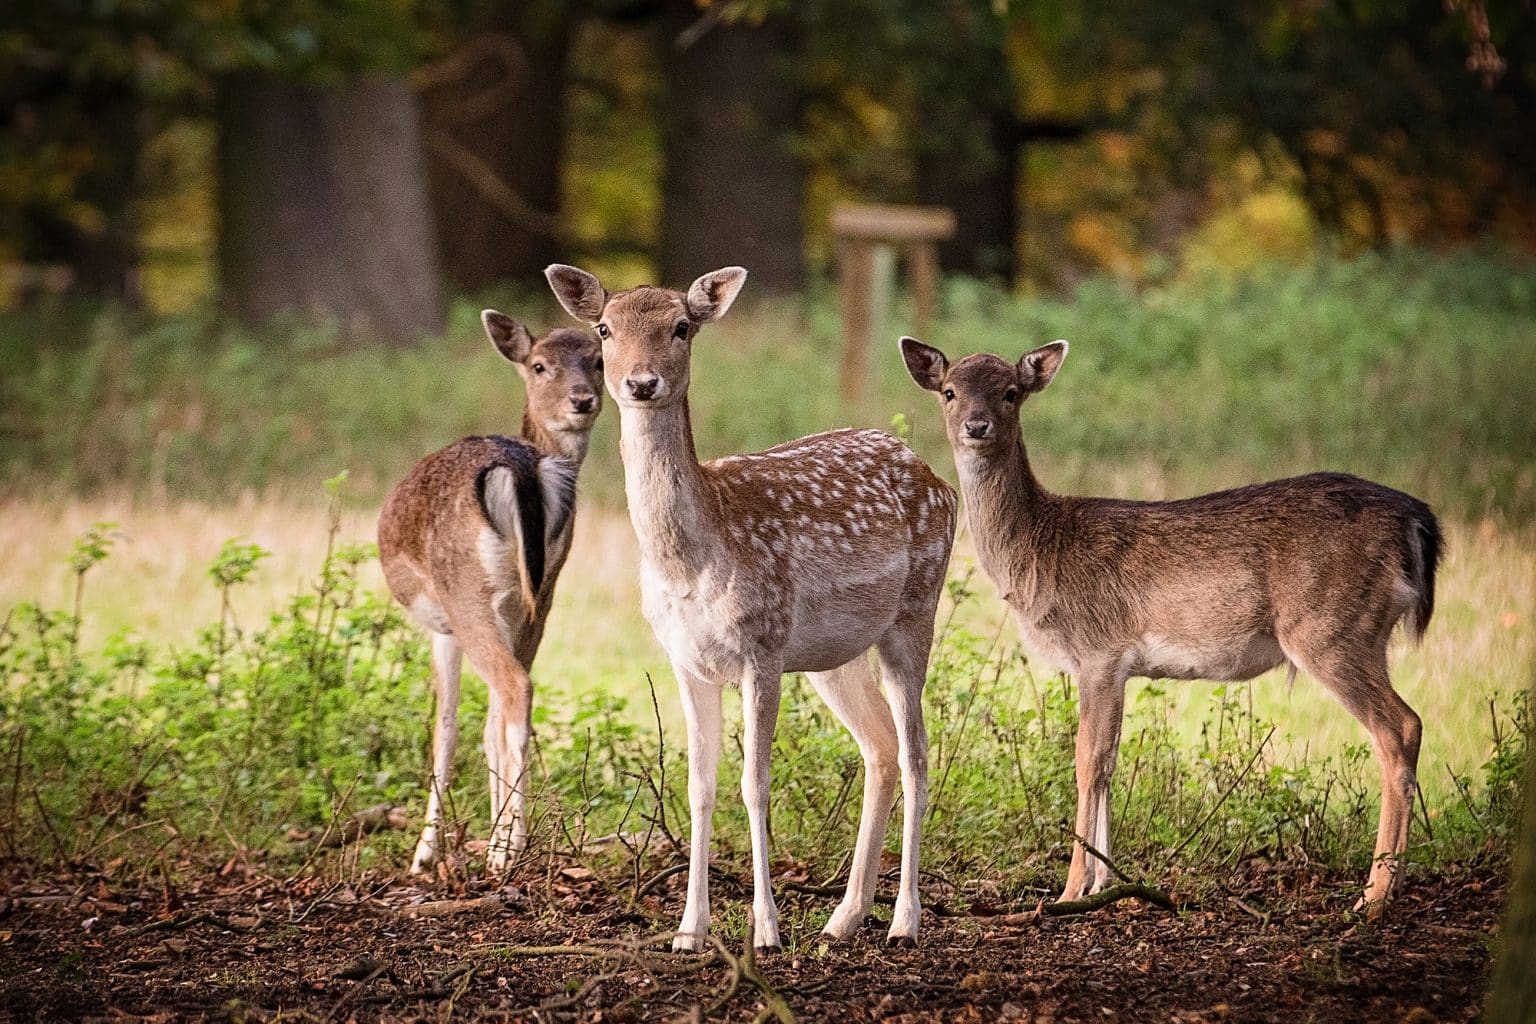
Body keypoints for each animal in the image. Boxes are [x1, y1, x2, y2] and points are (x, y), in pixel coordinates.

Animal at [378, 311, 603, 876]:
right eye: (540, 365)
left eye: (597, 359)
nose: (583, 399)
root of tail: (520, 468)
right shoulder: (530, 607)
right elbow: (487, 729)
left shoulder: (443, 627)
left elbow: (446, 728)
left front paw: (425, 853)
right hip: (538, 596)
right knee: (514, 699)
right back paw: (509, 841)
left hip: (467, 595)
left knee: (513, 689)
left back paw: (506, 850)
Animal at [545, 264, 958, 951]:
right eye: (604, 329)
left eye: (681, 327)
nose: (641, 382)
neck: (691, 560)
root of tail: (939, 480)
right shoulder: (686, 660)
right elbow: (700, 786)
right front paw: (689, 930)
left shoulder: (760, 649)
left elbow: (755, 785)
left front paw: (764, 928)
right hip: (831, 656)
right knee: (877, 747)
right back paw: (844, 917)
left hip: (915, 611)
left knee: (916, 753)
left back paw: (903, 919)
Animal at [899, 334, 1441, 913]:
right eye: (950, 391)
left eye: (1010, 392)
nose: (976, 426)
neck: (1039, 552)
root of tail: (1416, 519)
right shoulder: (1116, 666)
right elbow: (1109, 762)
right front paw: (1103, 882)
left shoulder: (1098, 650)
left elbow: (1086, 761)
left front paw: (1070, 890)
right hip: (1360, 631)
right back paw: (1390, 885)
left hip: (1330, 627)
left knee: (1401, 727)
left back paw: (1375, 895)